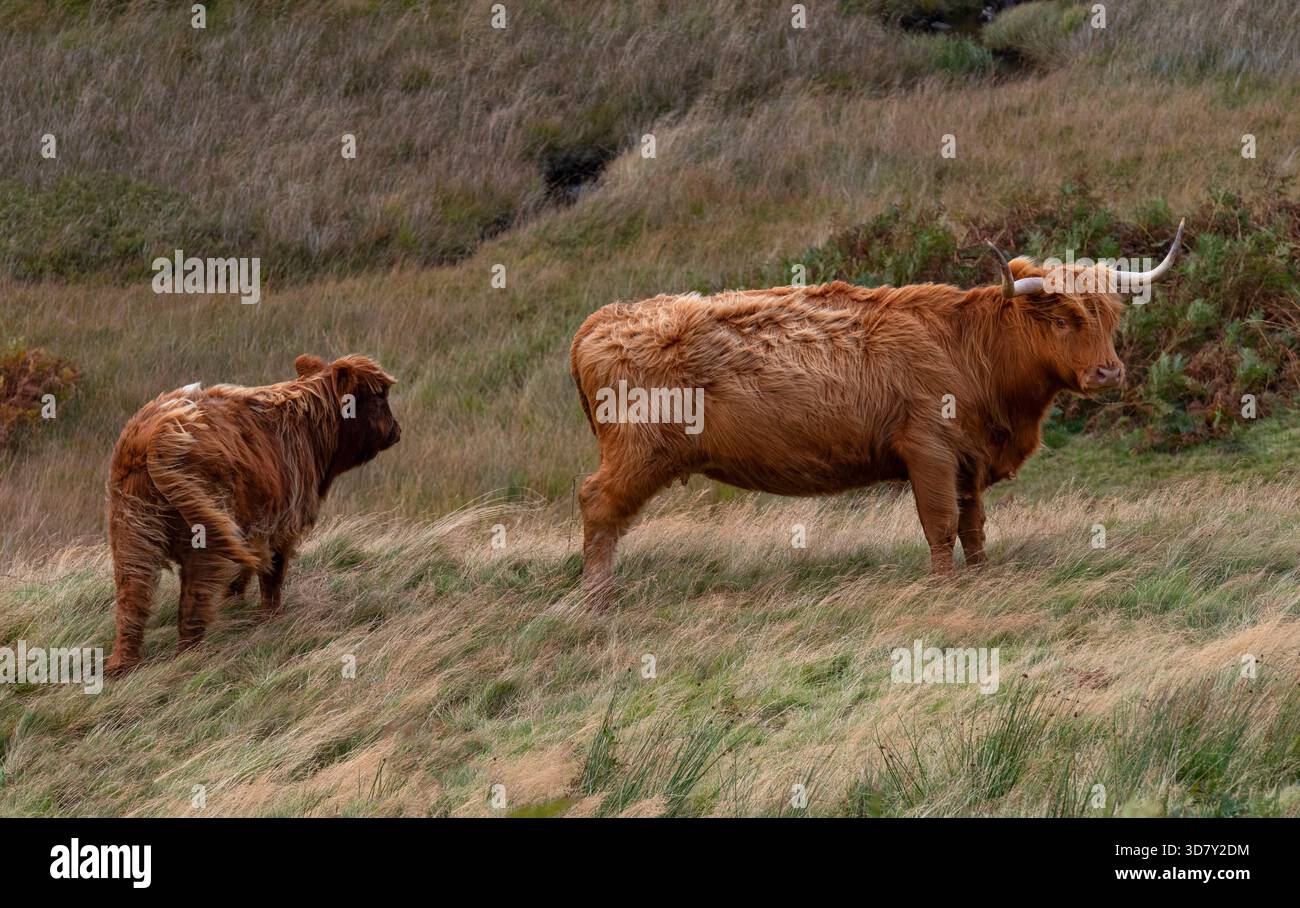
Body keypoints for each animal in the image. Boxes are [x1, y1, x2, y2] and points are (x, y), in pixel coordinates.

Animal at [104, 354, 400, 674]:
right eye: (378, 397)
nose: (397, 430)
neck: (312, 431)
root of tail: (154, 436)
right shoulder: (281, 523)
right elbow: (273, 573)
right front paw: (271, 617)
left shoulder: (248, 529)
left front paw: (234, 603)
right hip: (202, 535)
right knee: (192, 603)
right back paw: (189, 659)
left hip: (133, 531)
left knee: (132, 597)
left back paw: (122, 666)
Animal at [570, 222, 1184, 602]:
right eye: (1061, 320)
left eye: (1109, 317)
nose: (1108, 373)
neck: (974, 352)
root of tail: (599, 321)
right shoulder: (928, 449)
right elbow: (939, 523)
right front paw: (944, 589)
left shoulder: (969, 457)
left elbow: (974, 526)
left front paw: (981, 578)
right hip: (639, 452)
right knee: (598, 504)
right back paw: (600, 599)